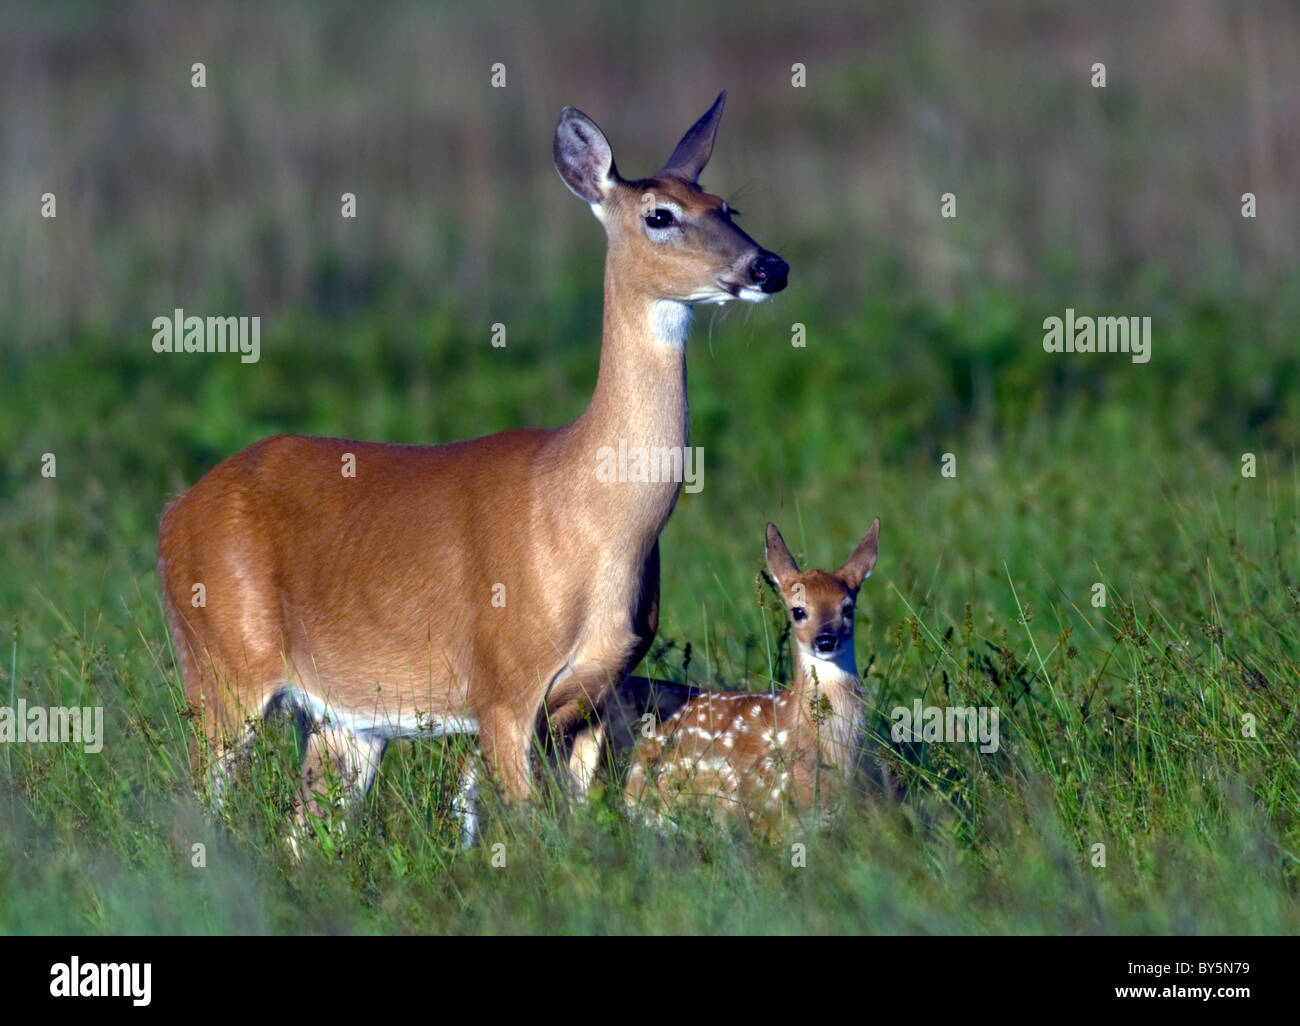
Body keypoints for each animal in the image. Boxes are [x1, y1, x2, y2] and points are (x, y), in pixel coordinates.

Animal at [156, 91, 789, 843]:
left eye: (727, 205)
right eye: (659, 215)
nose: (770, 267)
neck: (589, 515)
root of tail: (172, 514)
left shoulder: (594, 698)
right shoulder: (502, 688)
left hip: (344, 719)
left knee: (303, 831)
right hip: (220, 669)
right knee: (195, 806)